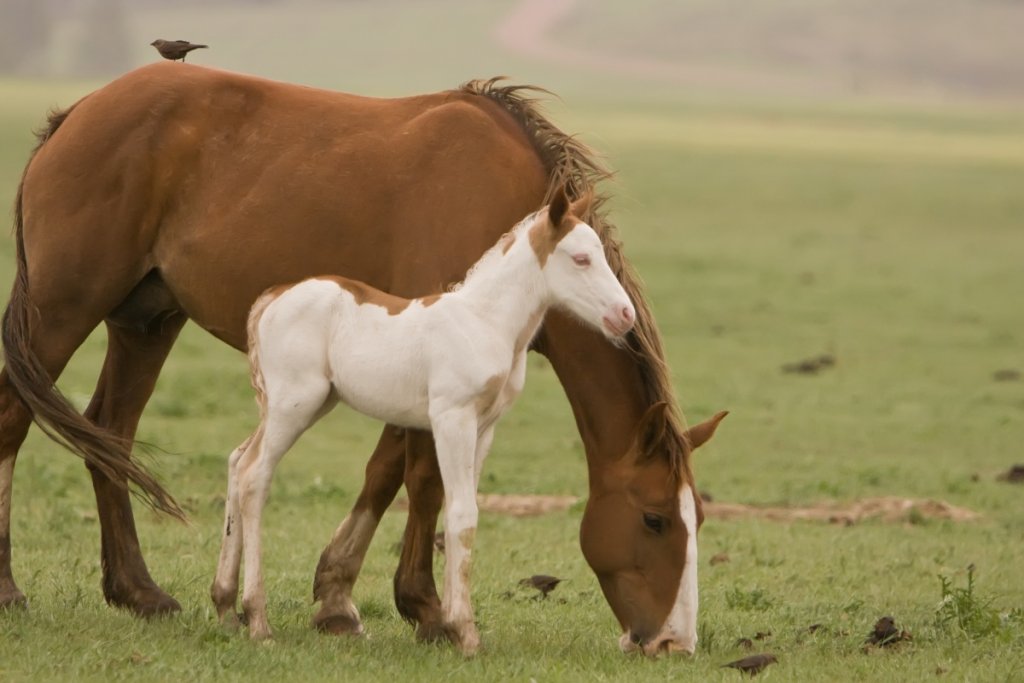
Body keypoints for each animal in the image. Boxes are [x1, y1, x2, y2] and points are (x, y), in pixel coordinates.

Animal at [212, 188, 635, 651]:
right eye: (581, 259)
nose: (625, 316)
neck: (485, 322)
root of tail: (273, 297)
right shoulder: (452, 418)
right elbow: (463, 514)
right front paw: (464, 633)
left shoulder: (485, 428)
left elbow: (458, 516)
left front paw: (452, 623)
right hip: (295, 404)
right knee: (255, 473)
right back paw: (257, 619)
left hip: (303, 403)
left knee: (237, 459)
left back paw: (226, 606)